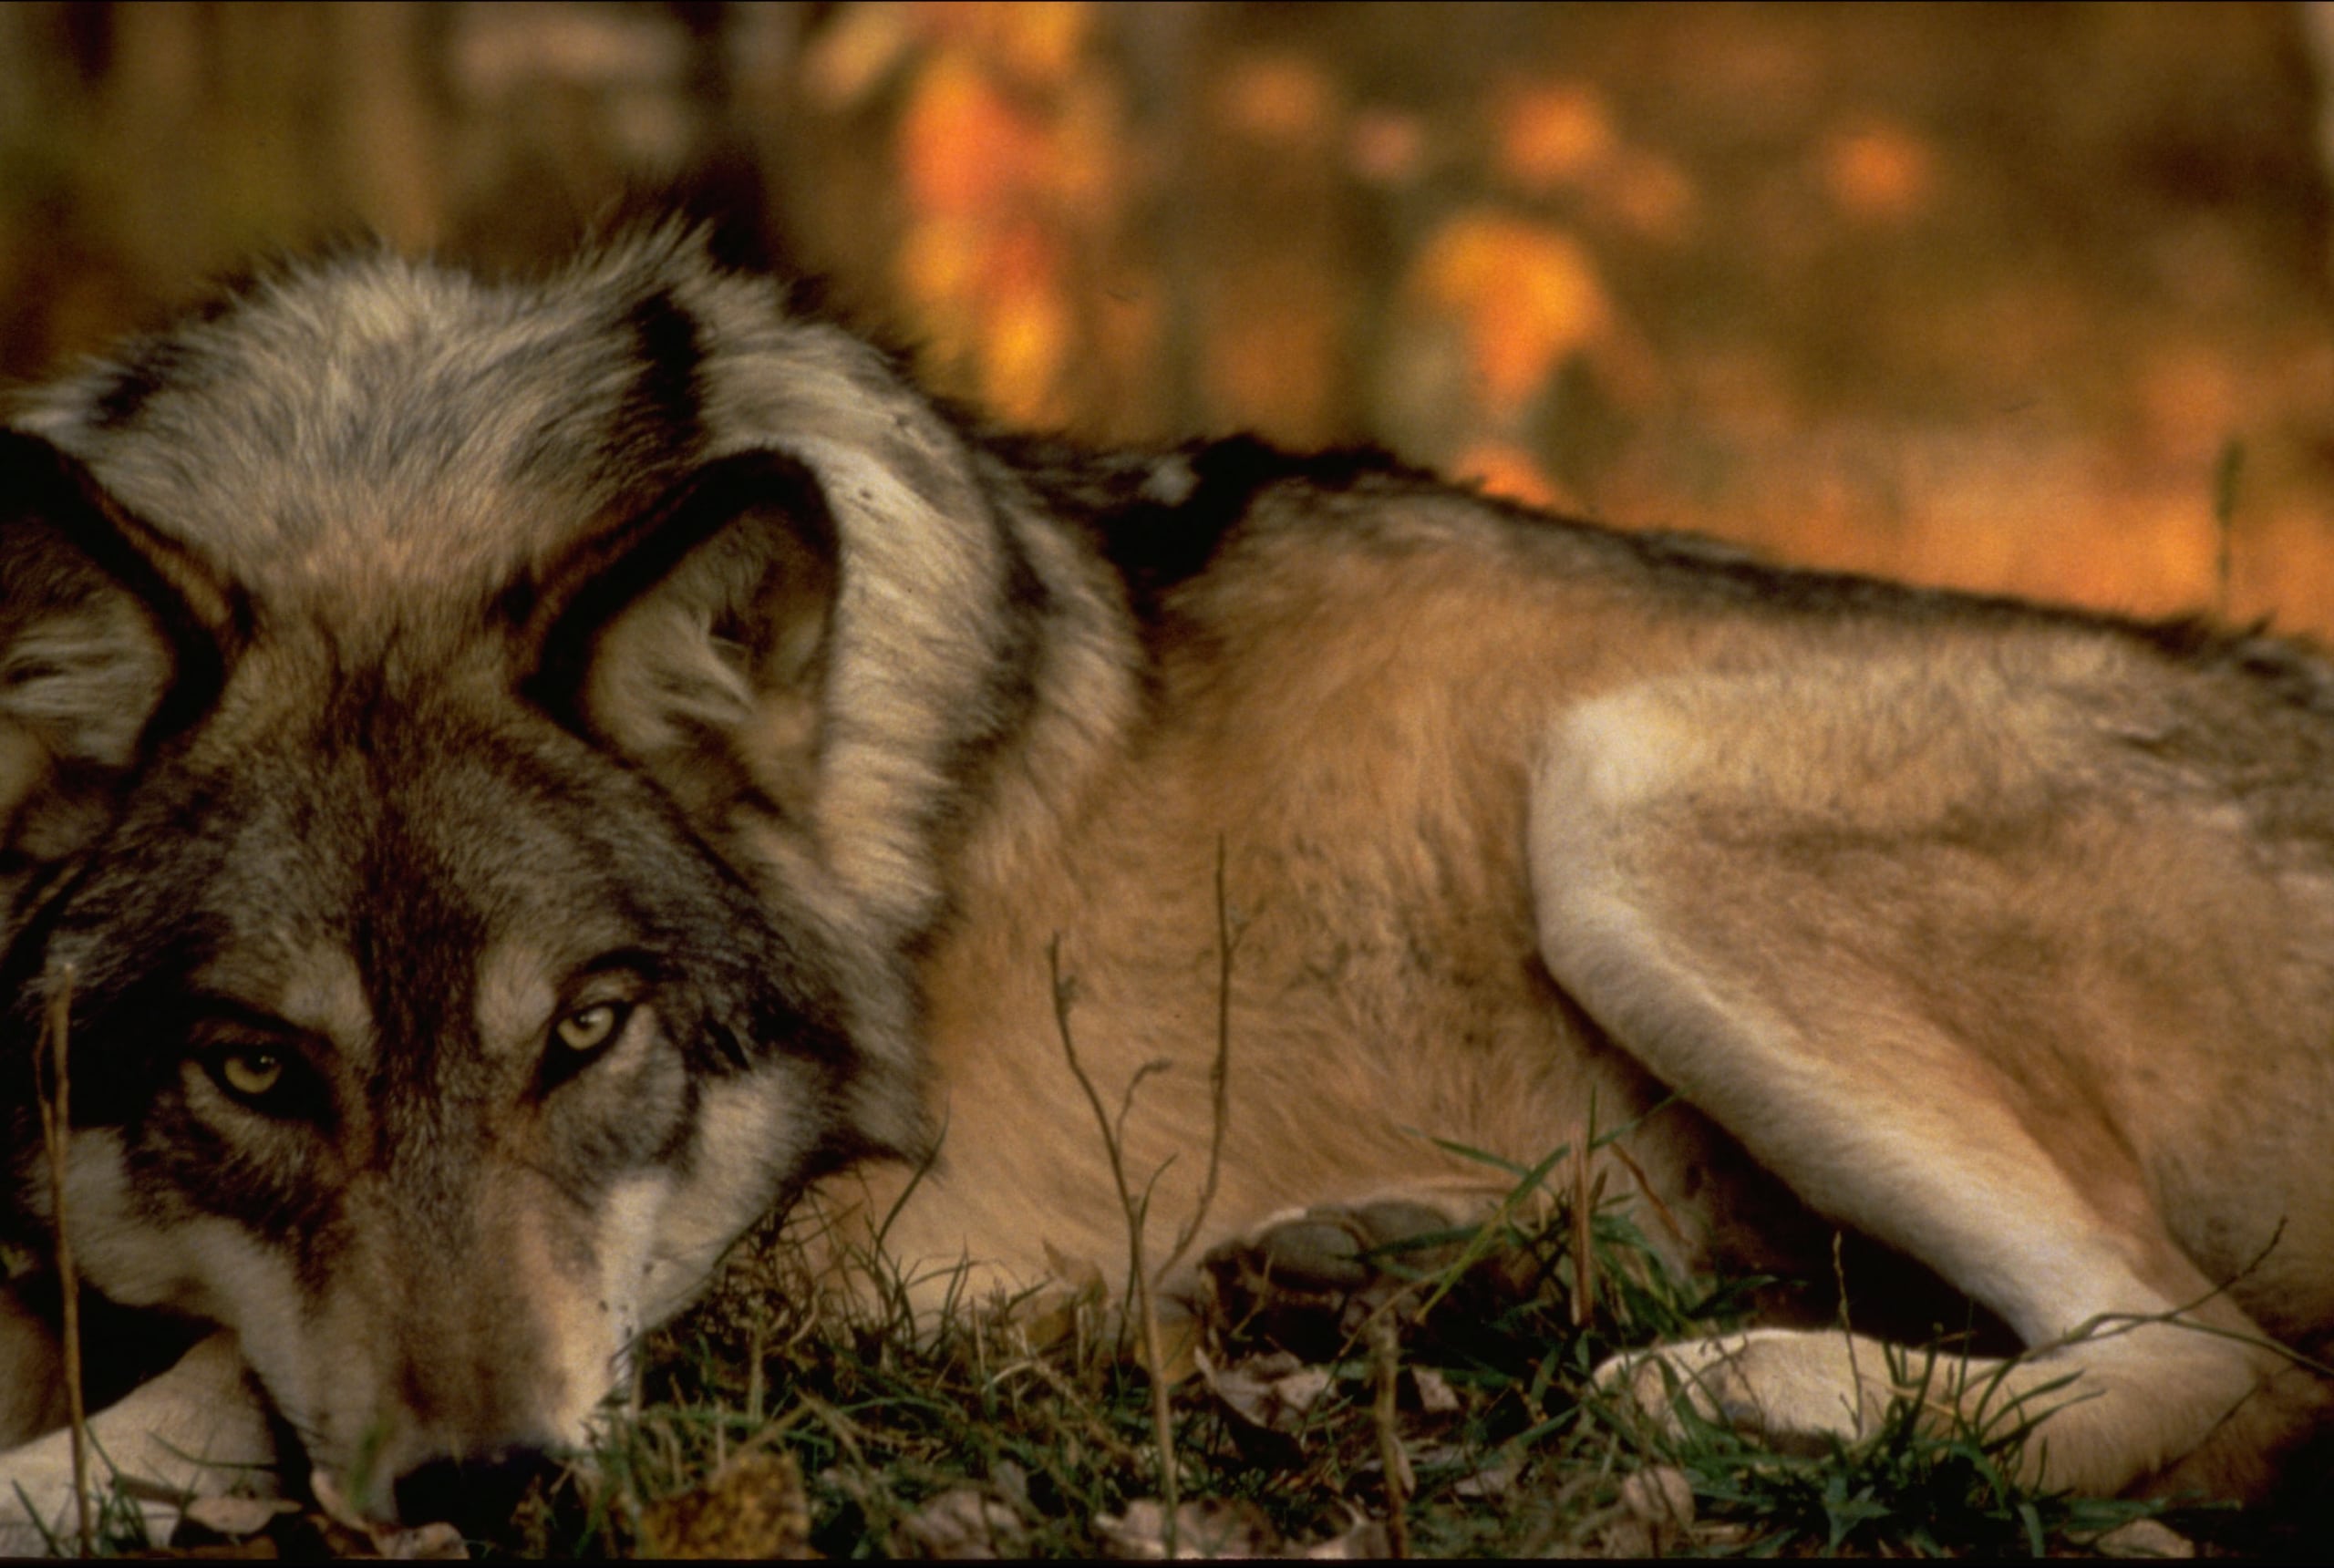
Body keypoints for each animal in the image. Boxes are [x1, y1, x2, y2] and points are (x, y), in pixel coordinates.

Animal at [3, 227, 2333, 1547]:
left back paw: (1722, 1386)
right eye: (248, 1066)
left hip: (1621, 786)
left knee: (2226, 1369)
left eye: (586, 1030)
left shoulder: (793, 1240)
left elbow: (215, 1383)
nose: (489, 1492)